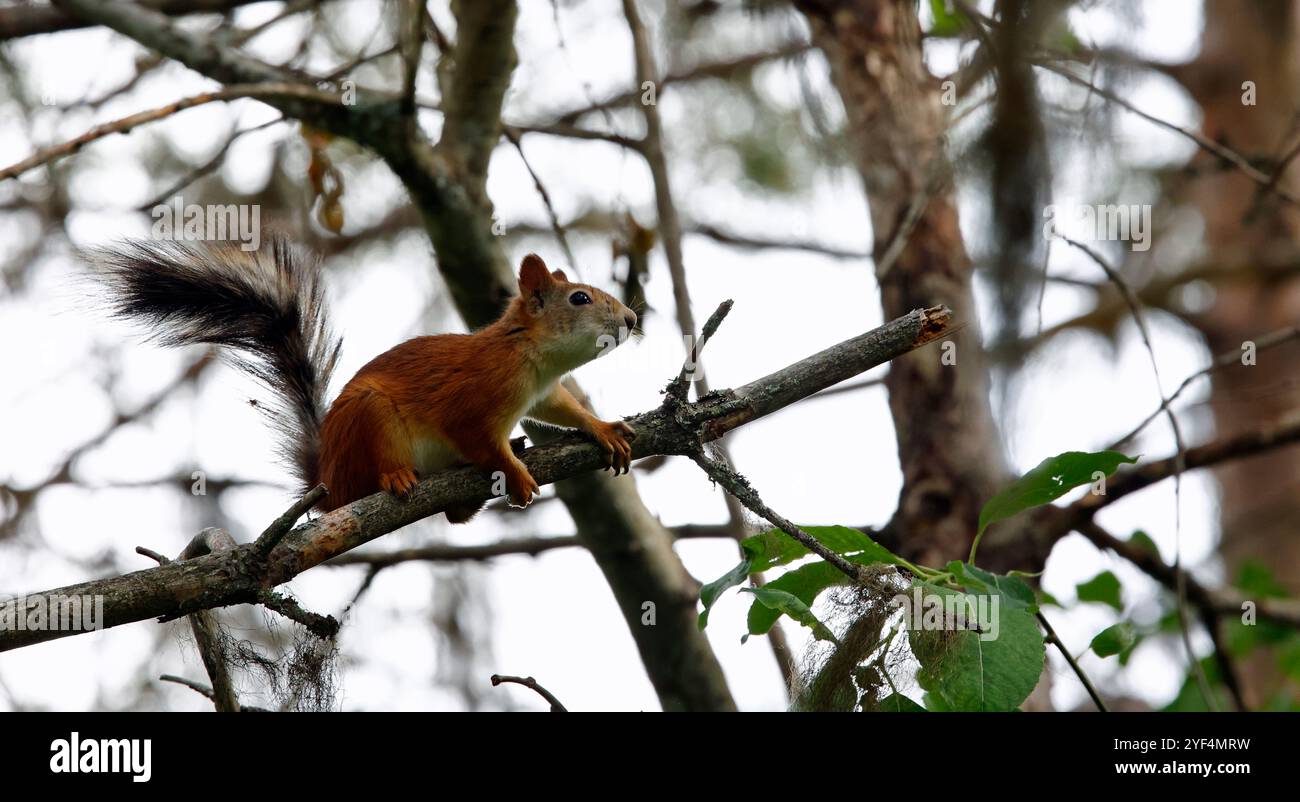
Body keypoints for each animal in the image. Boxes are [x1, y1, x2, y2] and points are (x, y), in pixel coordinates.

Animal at [93, 234, 638, 522]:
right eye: (580, 299)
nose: (633, 319)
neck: (529, 353)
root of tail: (326, 478)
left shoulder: (543, 391)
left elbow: (563, 409)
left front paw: (602, 429)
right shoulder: (477, 397)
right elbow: (478, 435)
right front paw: (515, 469)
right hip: (371, 418)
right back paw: (395, 476)